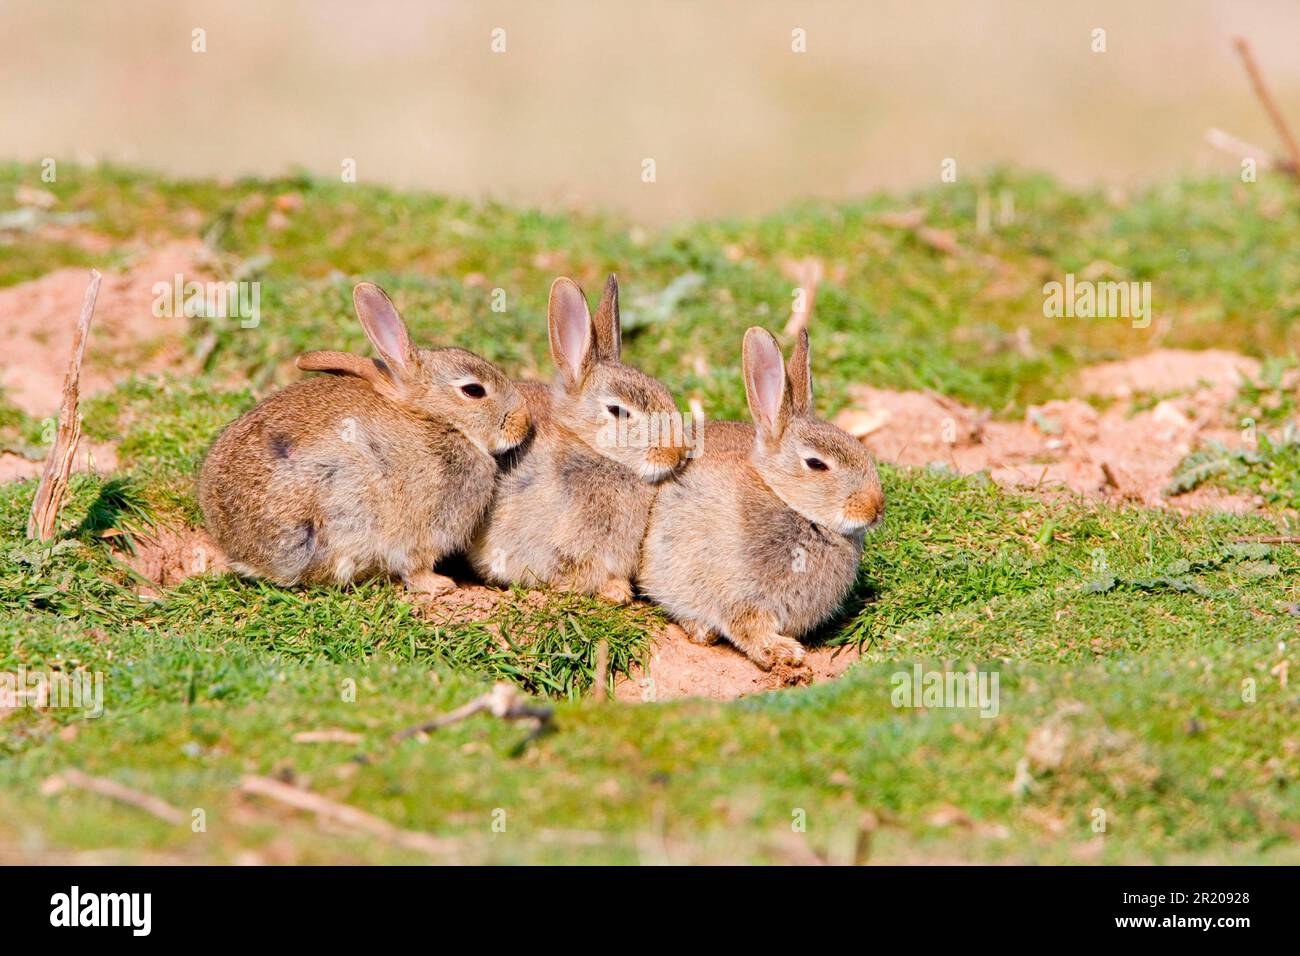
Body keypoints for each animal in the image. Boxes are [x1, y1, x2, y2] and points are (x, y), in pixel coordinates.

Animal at [199, 282, 530, 597]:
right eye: (474, 390)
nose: (524, 423)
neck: (441, 422)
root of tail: (241, 550)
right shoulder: (421, 527)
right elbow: (415, 565)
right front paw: (439, 585)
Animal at [639, 326, 884, 669]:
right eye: (816, 464)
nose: (876, 508)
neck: (787, 501)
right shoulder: (739, 595)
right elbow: (748, 627)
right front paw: (783, 653)